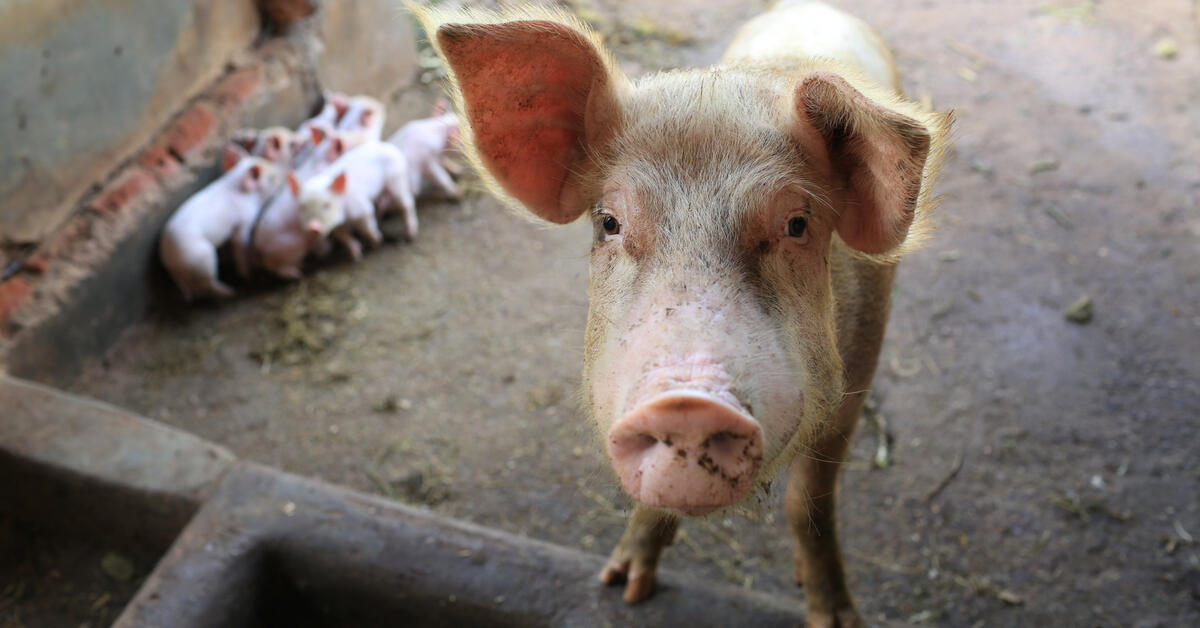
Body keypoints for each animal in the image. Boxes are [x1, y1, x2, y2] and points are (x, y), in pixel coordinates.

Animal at [159, 147, 281, 301]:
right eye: (272, 178)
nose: (284, 175)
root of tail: (170, 262)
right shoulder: (243, 221)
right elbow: (239, 242)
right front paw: (249, 276)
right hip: (203, 258)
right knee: (208, 284)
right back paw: (230, 292)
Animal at [414, 2, 952, 626]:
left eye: (797, 224)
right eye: (608, 221)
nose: (686, 403)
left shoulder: (856, 381)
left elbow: (809, 502)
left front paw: (836, 617)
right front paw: (621, 587)